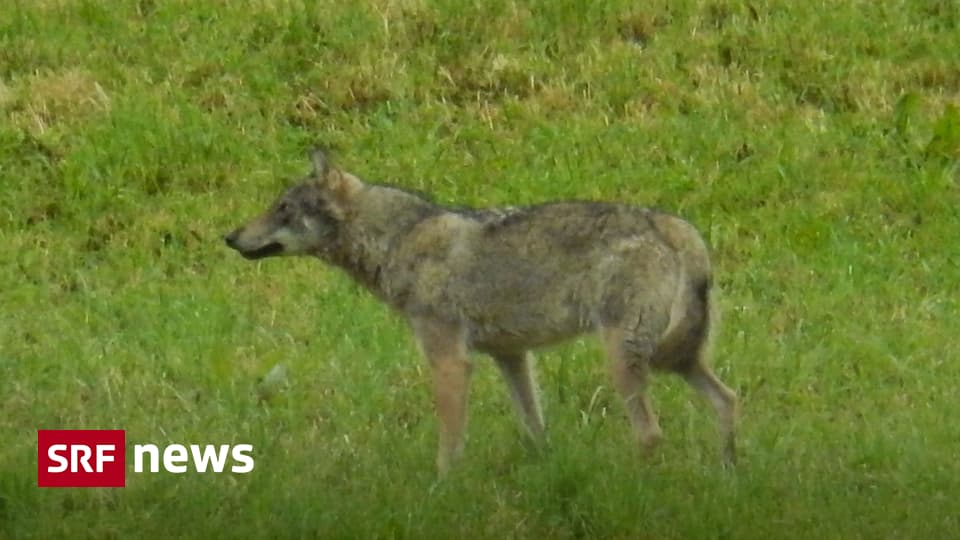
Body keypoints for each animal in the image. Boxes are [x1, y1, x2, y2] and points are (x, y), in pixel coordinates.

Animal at [224, 149, 738, 475]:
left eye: (283, 209)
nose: (229, 237)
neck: (398, 241)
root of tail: (674, 226)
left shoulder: (450, 359)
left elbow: (449, 443)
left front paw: (441, 490)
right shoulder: (510, 356)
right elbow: (534, 429)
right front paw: (545, 475)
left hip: (626, 359)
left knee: (651, 434)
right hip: (674, 359)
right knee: (727, 399)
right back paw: (729, 477)